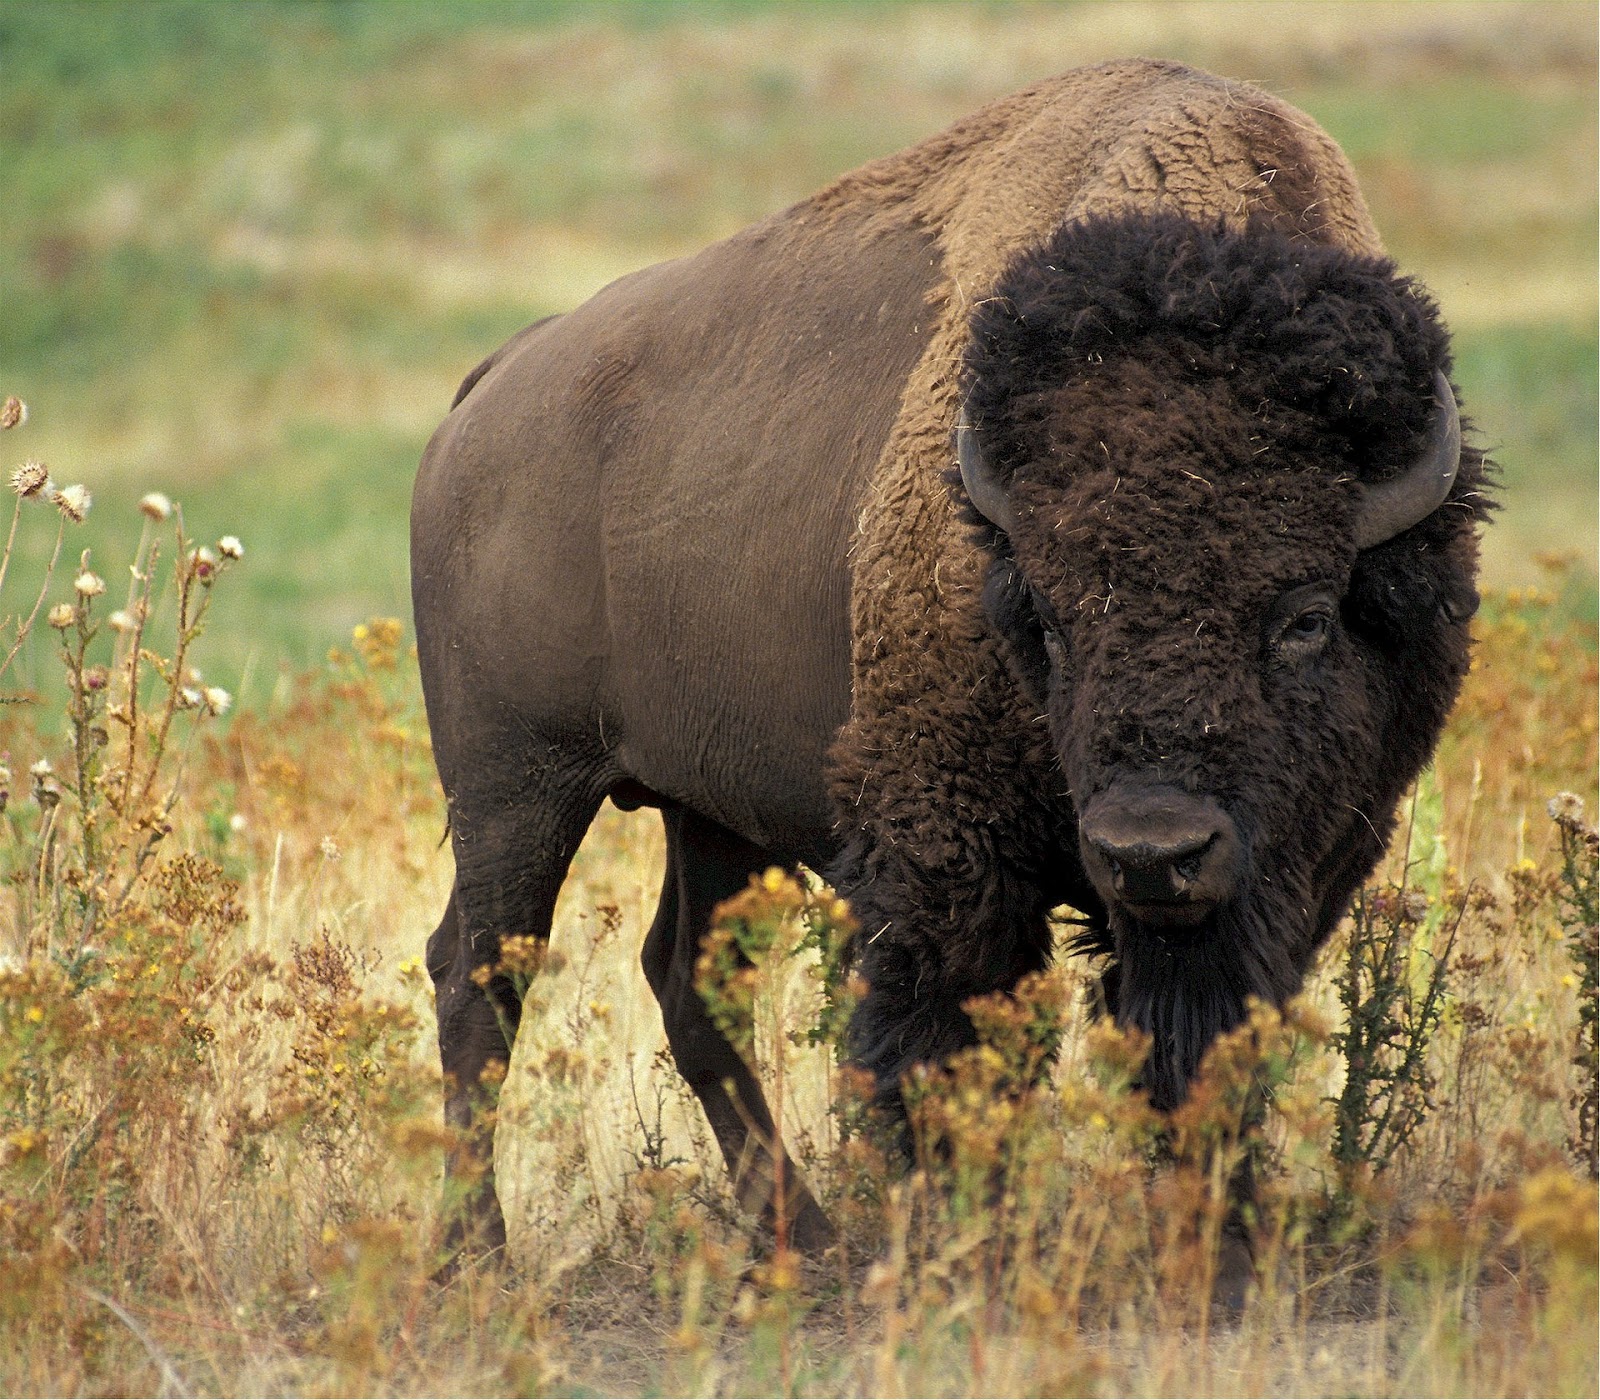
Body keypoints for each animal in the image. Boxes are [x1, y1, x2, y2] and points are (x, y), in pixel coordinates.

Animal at [412, 58, 1488, 1263]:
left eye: (1305, 615)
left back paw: (804, 1241)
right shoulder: (946, 847)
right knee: (479, 974)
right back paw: (478, 1255)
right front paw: (967, 1237)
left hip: (710, 809)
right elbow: (950, 1045)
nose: (1151, 850)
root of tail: (493, 386)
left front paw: (1220, 1243)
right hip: (515, 786)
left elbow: (1206, 1045)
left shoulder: (1298, 866)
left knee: (686, 980)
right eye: (1049, 621)